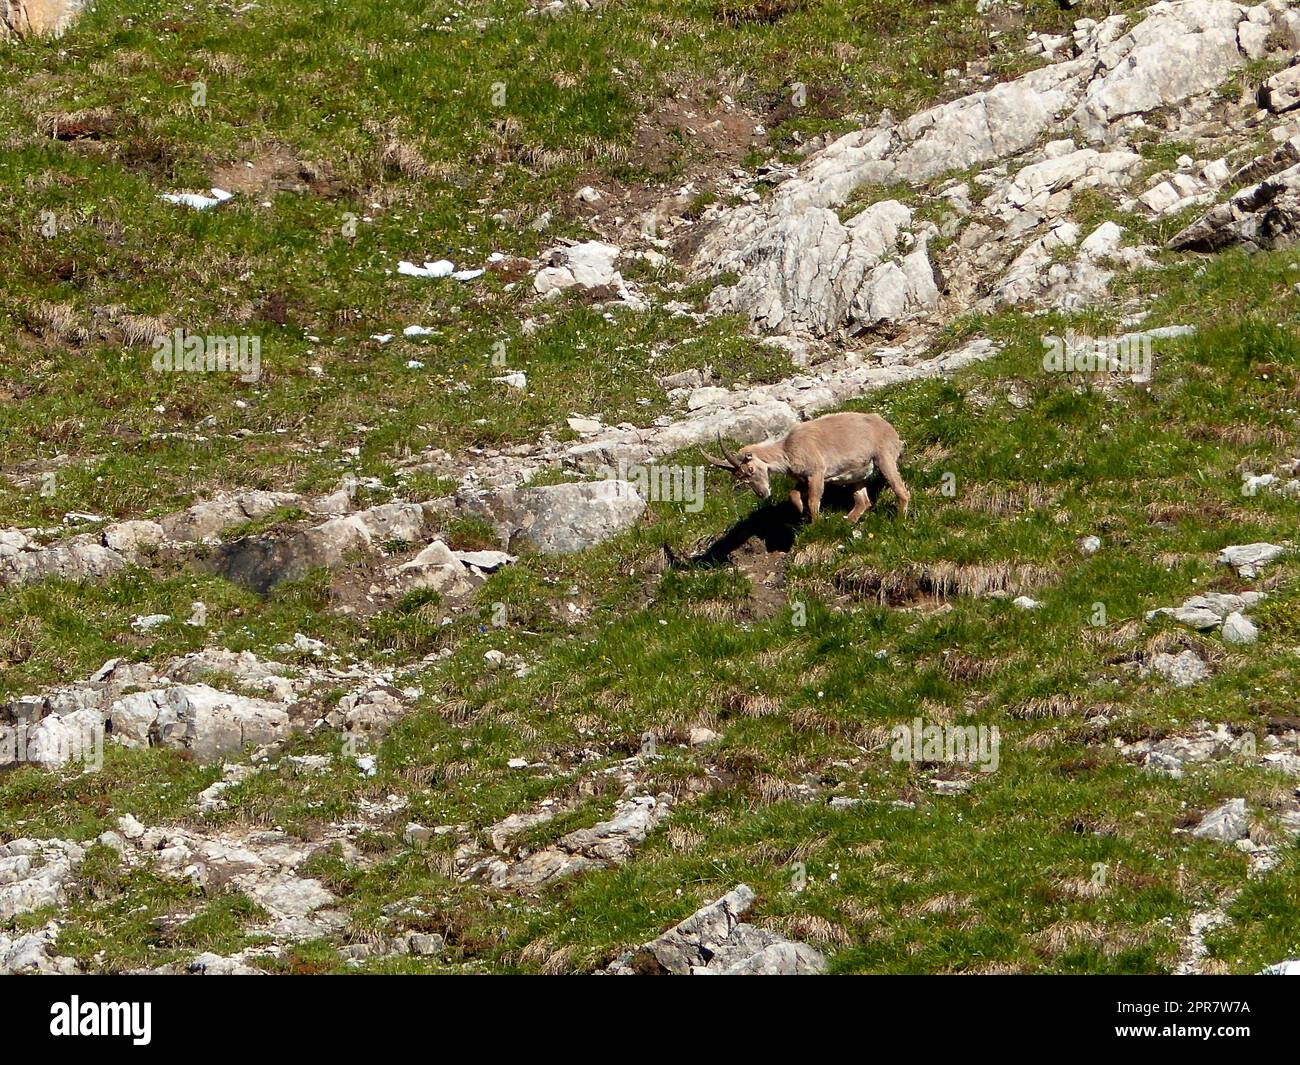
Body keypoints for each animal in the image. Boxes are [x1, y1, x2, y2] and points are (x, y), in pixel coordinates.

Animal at [702, 411, 909, 523]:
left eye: (750, 469)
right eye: (740, 478)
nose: (762, 494)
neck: (786, 450)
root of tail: (890, 430)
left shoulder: (816, 472)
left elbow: (813, 499)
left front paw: (816, 524)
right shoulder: (803, 478)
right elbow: (793, 495)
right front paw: (802, 511)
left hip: (884, 457)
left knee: (901, 490)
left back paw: (899, 519)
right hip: (856, 475)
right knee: (863, 501)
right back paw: (849, 520)